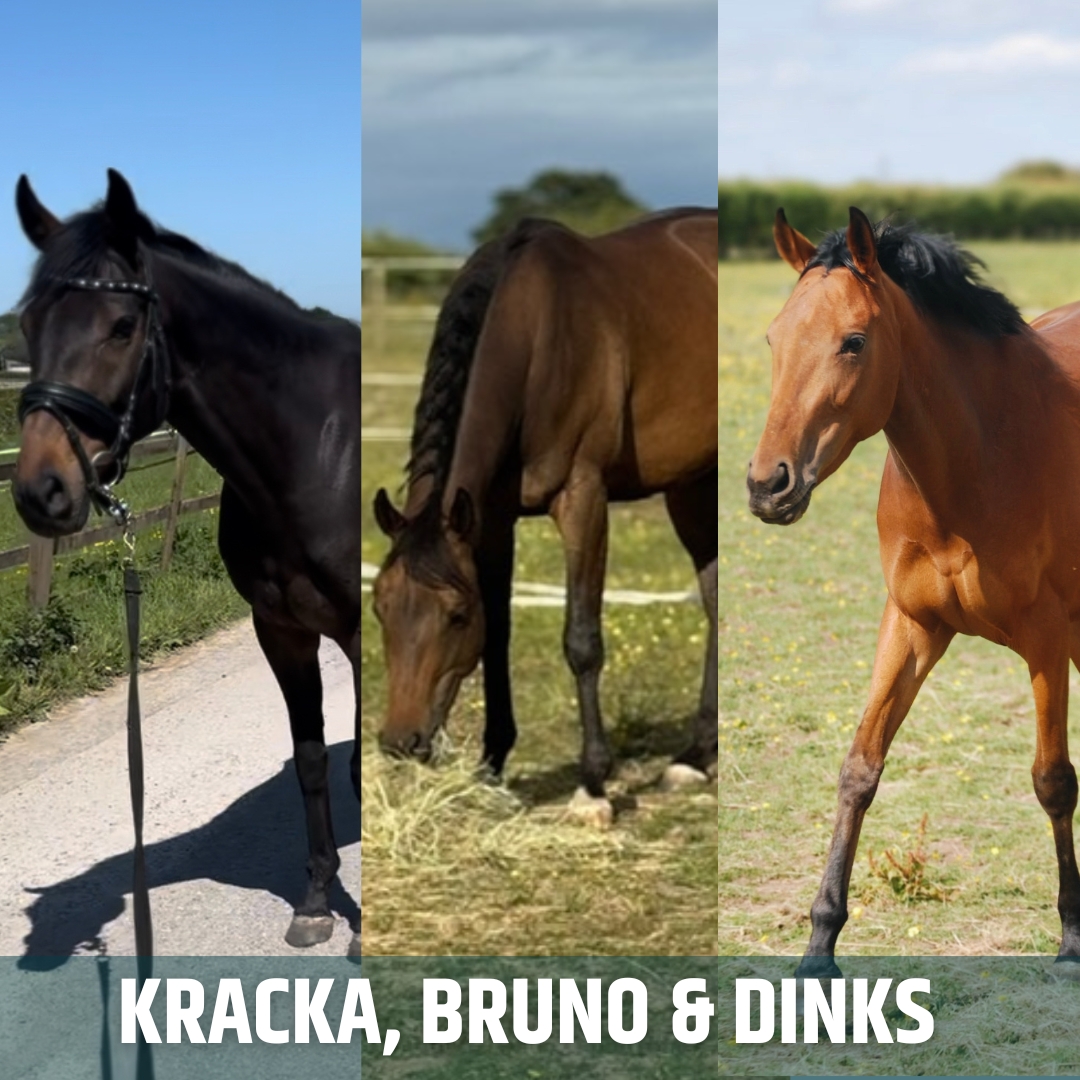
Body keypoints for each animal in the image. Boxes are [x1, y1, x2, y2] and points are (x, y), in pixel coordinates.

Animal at [12, 170, 360, 958]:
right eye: (28, 323)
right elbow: (312, 756)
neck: (315, 448)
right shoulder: (280, 629)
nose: (41, 490)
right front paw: (316, 902)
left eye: (121, 325)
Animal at [372, 209, 718, 807]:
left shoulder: (583, 500)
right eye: (379, 609)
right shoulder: (488, 521)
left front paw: (593, 784)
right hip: (691, 485)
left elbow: (582, 639)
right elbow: (498, 635)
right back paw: (696, 756)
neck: (537, 340)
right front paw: (491, 767)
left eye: (455, 616)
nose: (402, 742)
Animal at [747, 205, 1080, 975]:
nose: (767, 484)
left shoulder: (1047, 639)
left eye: (854, 342)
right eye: (775, 337)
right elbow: (859, 768)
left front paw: (1074, 936)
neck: (982, 453)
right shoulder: (911, 625)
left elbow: (1054, 779)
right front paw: (819, 944)